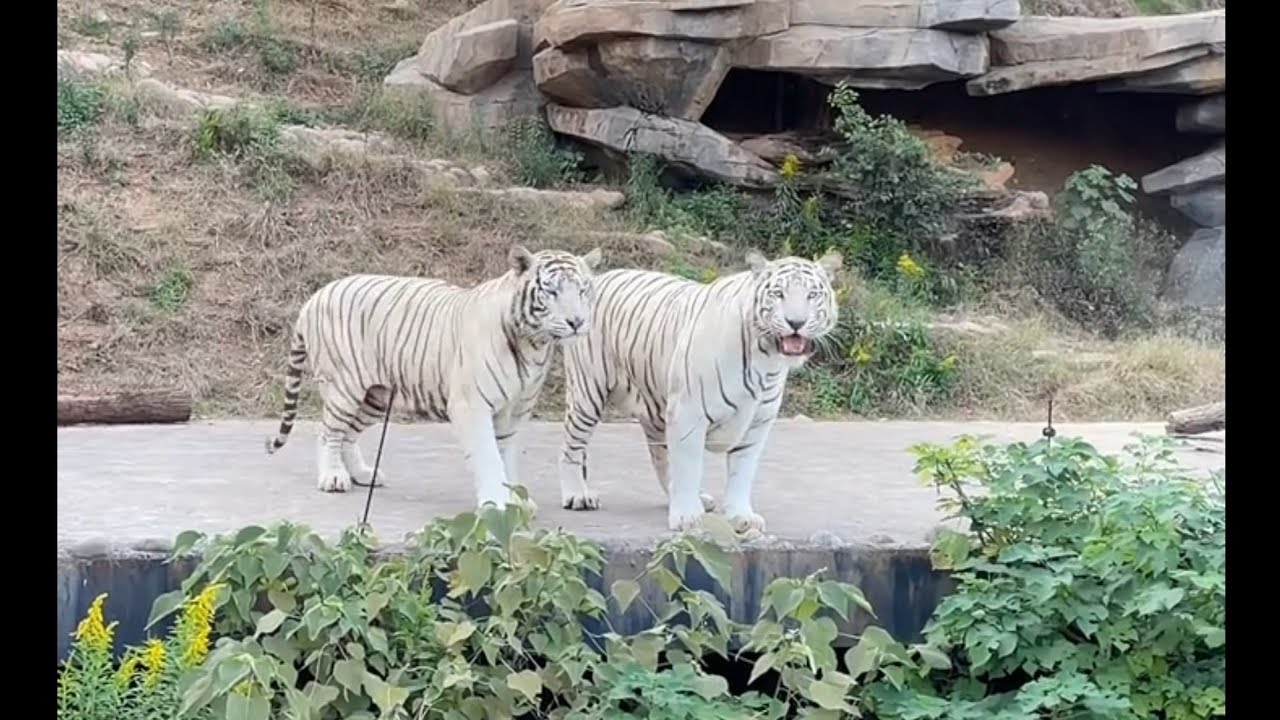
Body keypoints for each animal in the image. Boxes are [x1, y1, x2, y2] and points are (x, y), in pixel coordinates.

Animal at [265, 244, 603, 512]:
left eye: (583, 290)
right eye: (551, 291)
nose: (577, 322)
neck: (534, 345)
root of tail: (317, 294)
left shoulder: (516, 410)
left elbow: (507, 456)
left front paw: (517, 500)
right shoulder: (472, 405)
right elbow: (488, 456)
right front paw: (496, 502)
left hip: (375, 395)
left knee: (348, 434)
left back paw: (362, 474)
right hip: (344, 388)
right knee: (329, 433)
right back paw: (334, 478)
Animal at [557, 248, 843, 534]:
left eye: (812, 295)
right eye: (778, 294)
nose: (796, 322)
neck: (767, 360)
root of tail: (596, 279)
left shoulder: (757, 423)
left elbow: (742, 472)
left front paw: (741, 516)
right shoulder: (688, 414)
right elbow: (689, 467)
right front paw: (686, 517)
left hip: (655, 404)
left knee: (661, 457)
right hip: (587, 394)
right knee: (572, 447)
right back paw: (577, 495)